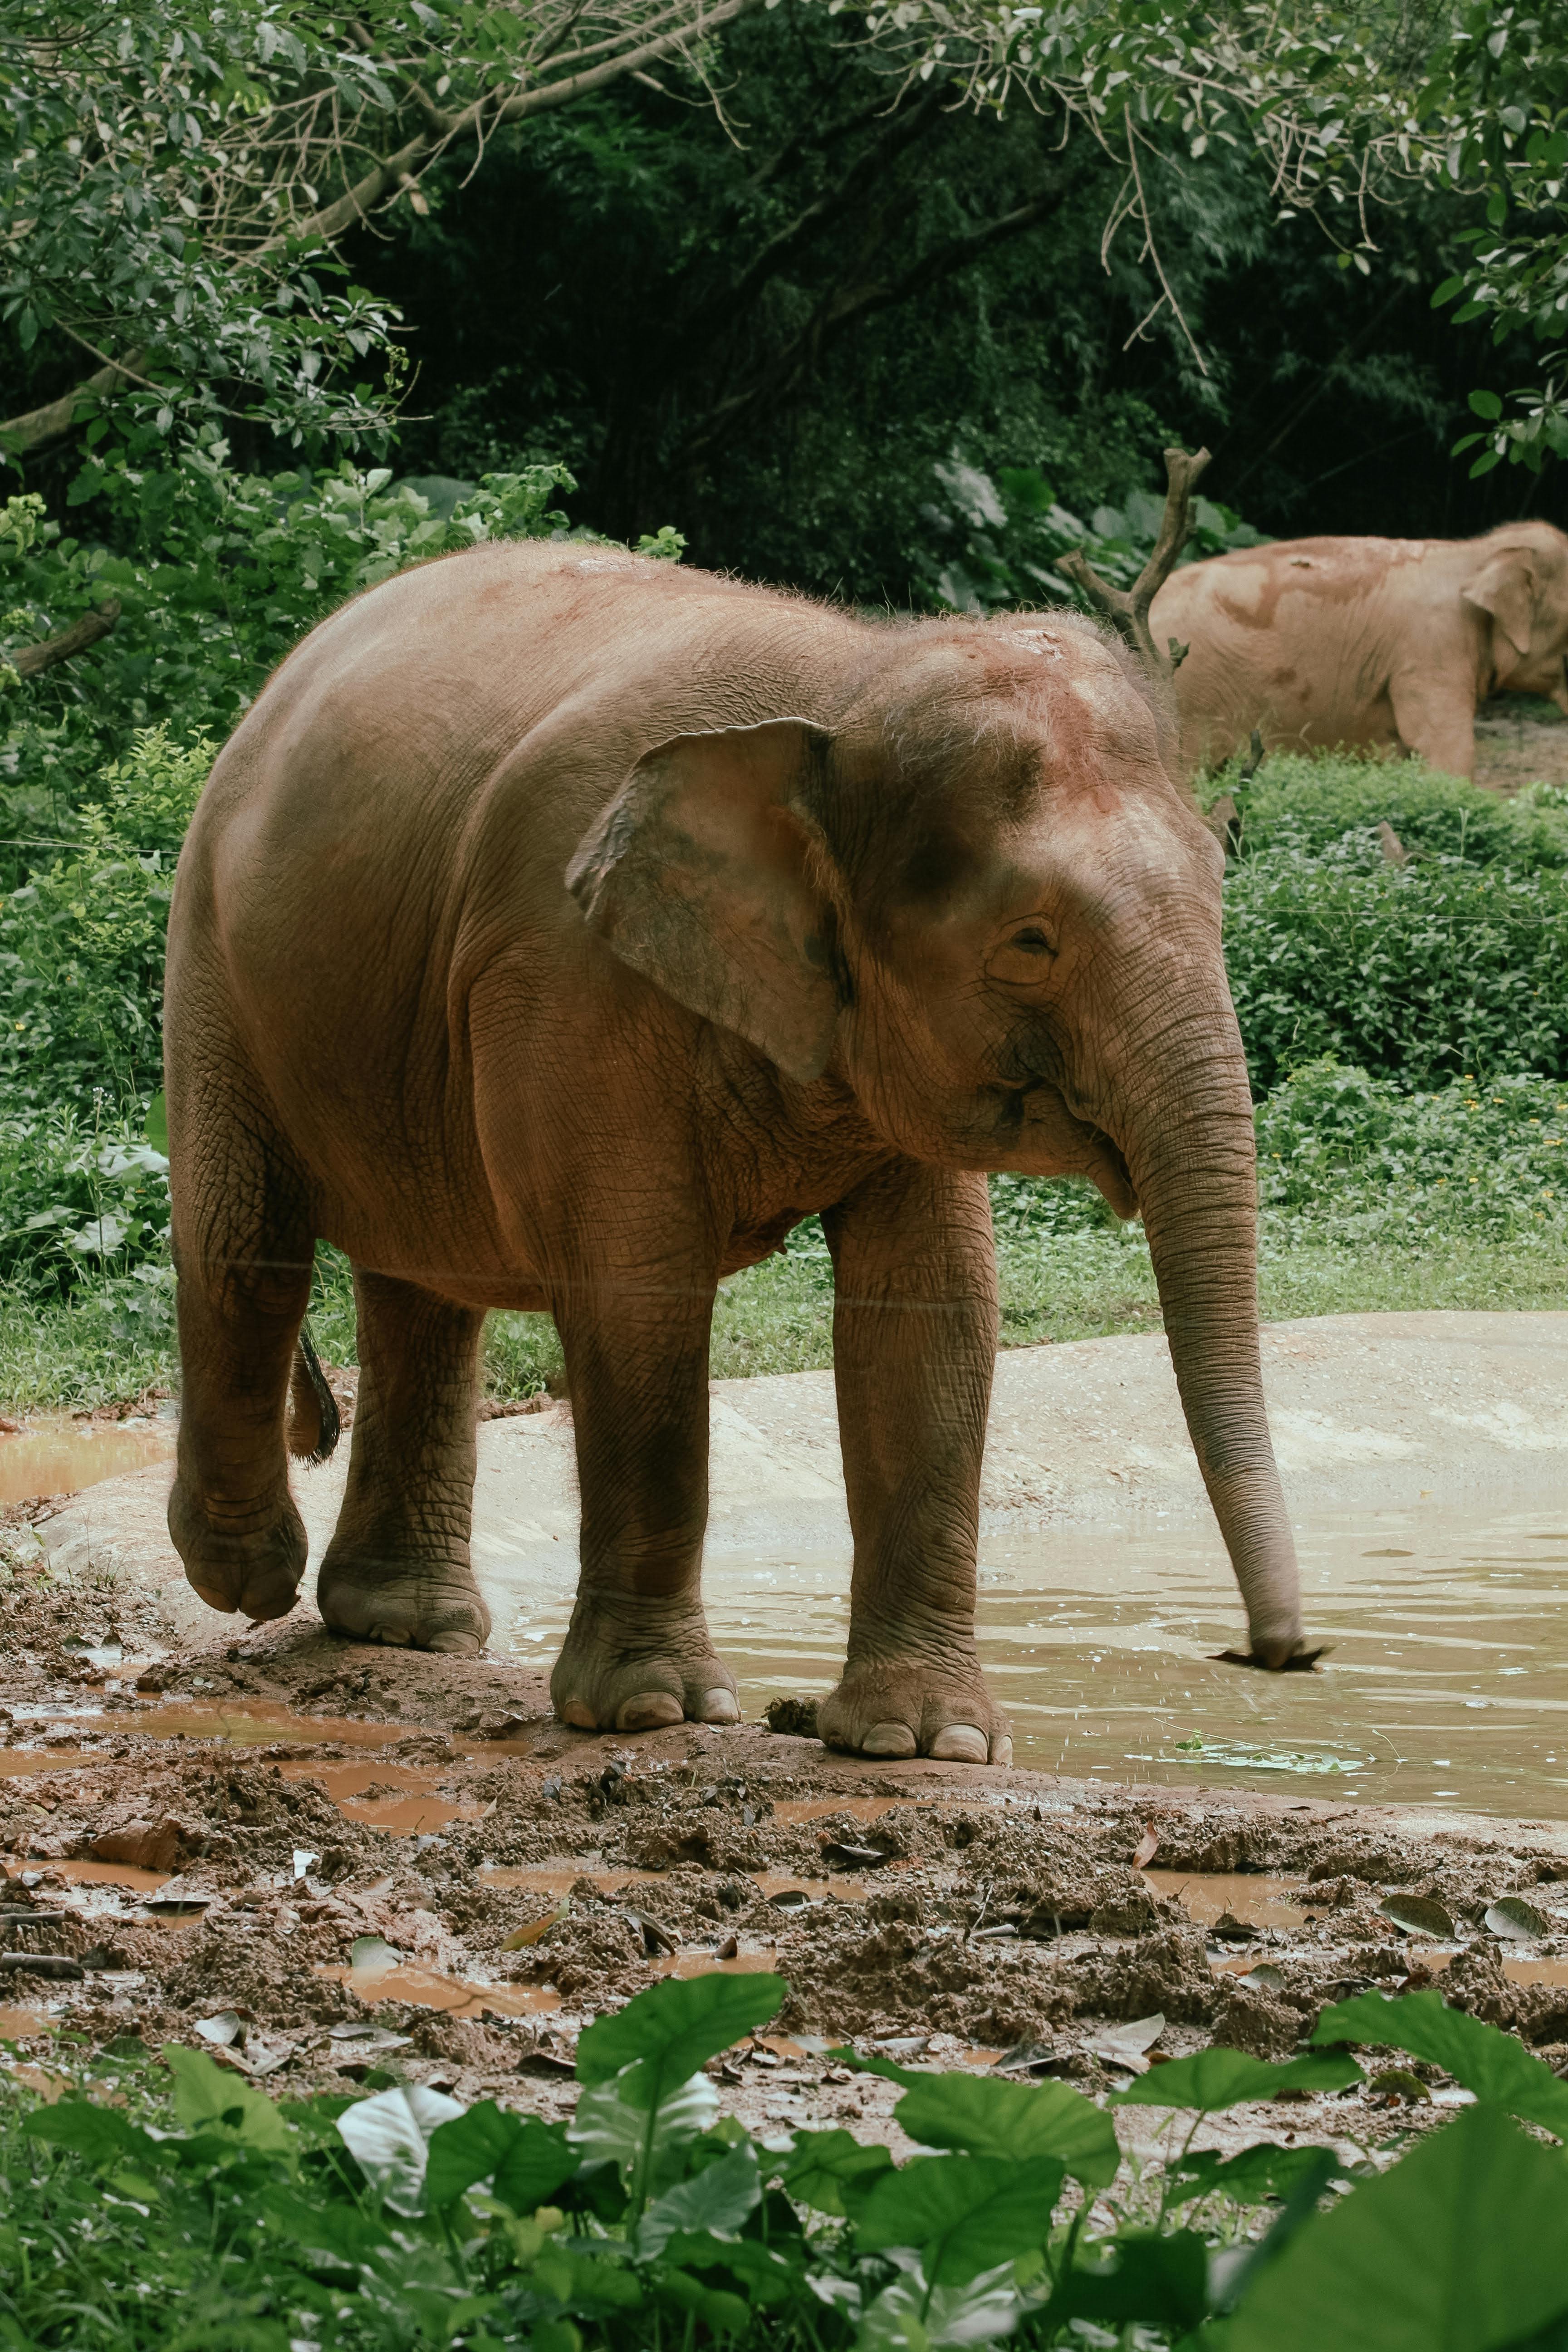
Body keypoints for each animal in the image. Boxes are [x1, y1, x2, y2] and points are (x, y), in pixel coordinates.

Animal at [162, 533, 1310, 1765]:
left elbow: (933, 1310)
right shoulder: (567, 968)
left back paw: (403, 1627)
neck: (851, 683)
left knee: (423, 1283)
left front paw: (924, 1742)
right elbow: (639, 1290)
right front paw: (653, 1712)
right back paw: (249, 1579)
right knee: (247, 1241)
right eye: (1031, 940)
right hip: (214, 950)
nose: (1276, 1654)